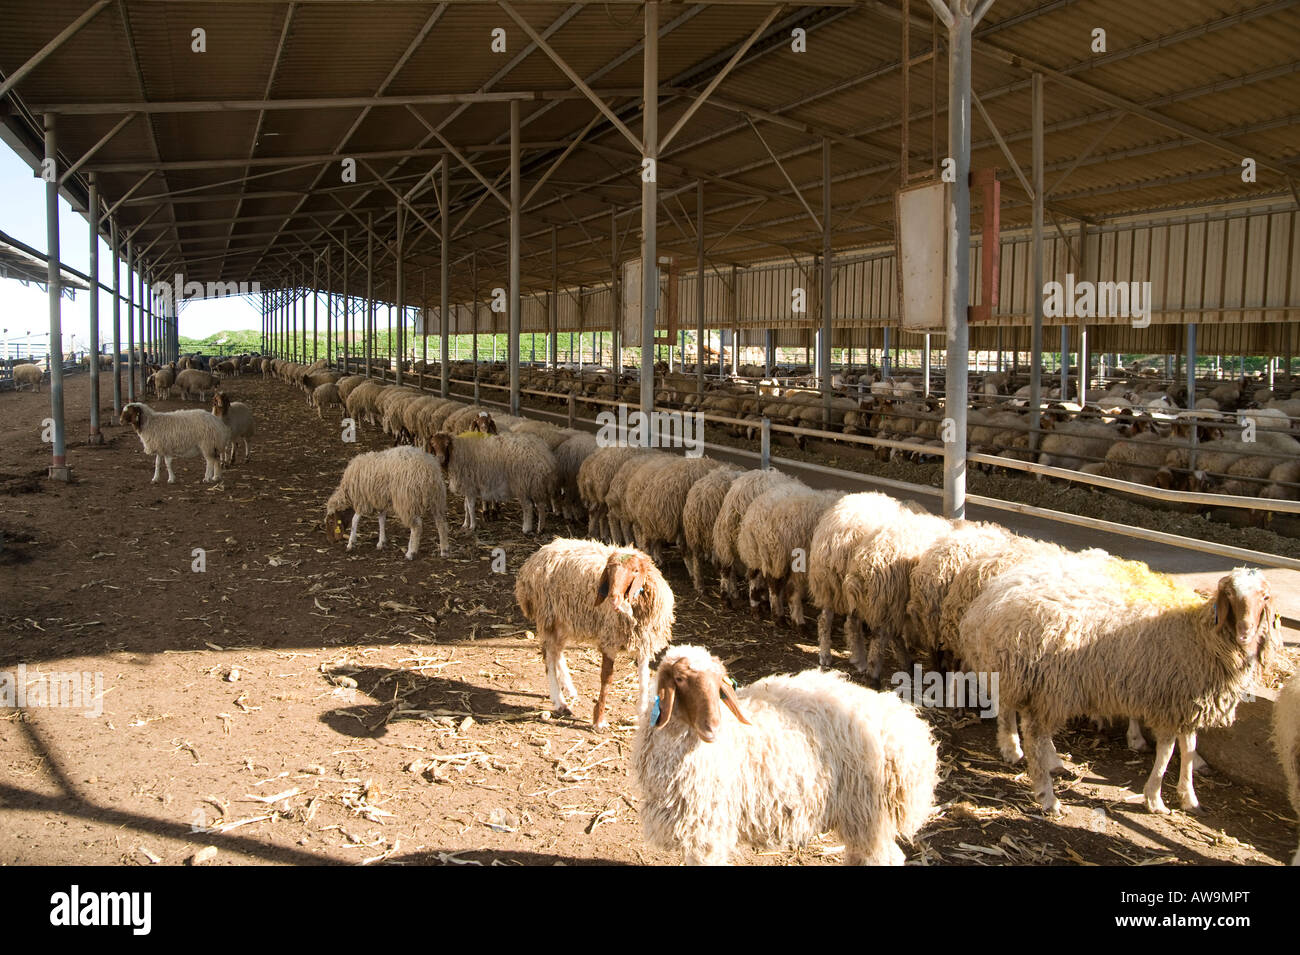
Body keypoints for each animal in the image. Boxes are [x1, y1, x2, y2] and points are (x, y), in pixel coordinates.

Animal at [426, 431, 556, 534]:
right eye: (433, 444)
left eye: (447, 444)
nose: (440, 458)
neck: (457, 452)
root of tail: (544, 453)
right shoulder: (468, 486)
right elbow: (466, 507)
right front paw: (465, 524)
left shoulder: (470, 485)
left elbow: (470, 507)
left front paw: (472, 526)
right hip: (534, 483)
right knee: (540, 505)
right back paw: (540, 529)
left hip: (522, 482)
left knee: (528, 506)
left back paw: (527, 528)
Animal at [515, 539, 673, 729]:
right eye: (609, 570)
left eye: (635, 570)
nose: (613, 598)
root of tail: (535, 558)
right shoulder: (610, 639)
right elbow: (606, 680)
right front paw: (599, 720)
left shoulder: (644, 641)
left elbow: (643, 679)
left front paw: (642, 713)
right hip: (548, 616)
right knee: (548, 657)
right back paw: (560, 701)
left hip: (563, 620)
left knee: (556, 651)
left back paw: (569, 689)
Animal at [632, 646, 938, 865]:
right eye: (680, 679)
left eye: (719, 684)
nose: (713, 728)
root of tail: (908, 733)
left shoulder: (708, 830)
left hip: (868, 812)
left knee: (884, 857)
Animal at [960, 561, 1278, 815]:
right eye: (1231, 595)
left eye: (1264, 596)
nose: (1245, 632)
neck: (1200, 634)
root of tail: (993, 599)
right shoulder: (1168, 703)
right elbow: (1166, 752)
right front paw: (1155, 799)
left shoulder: (1187, 704)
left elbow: (1188, 750)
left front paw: (1189, 798)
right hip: (1050, 685)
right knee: (1034, 736)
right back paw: (1047, 795)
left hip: (1020, 675)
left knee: (1010, 710)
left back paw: (1021, 751)